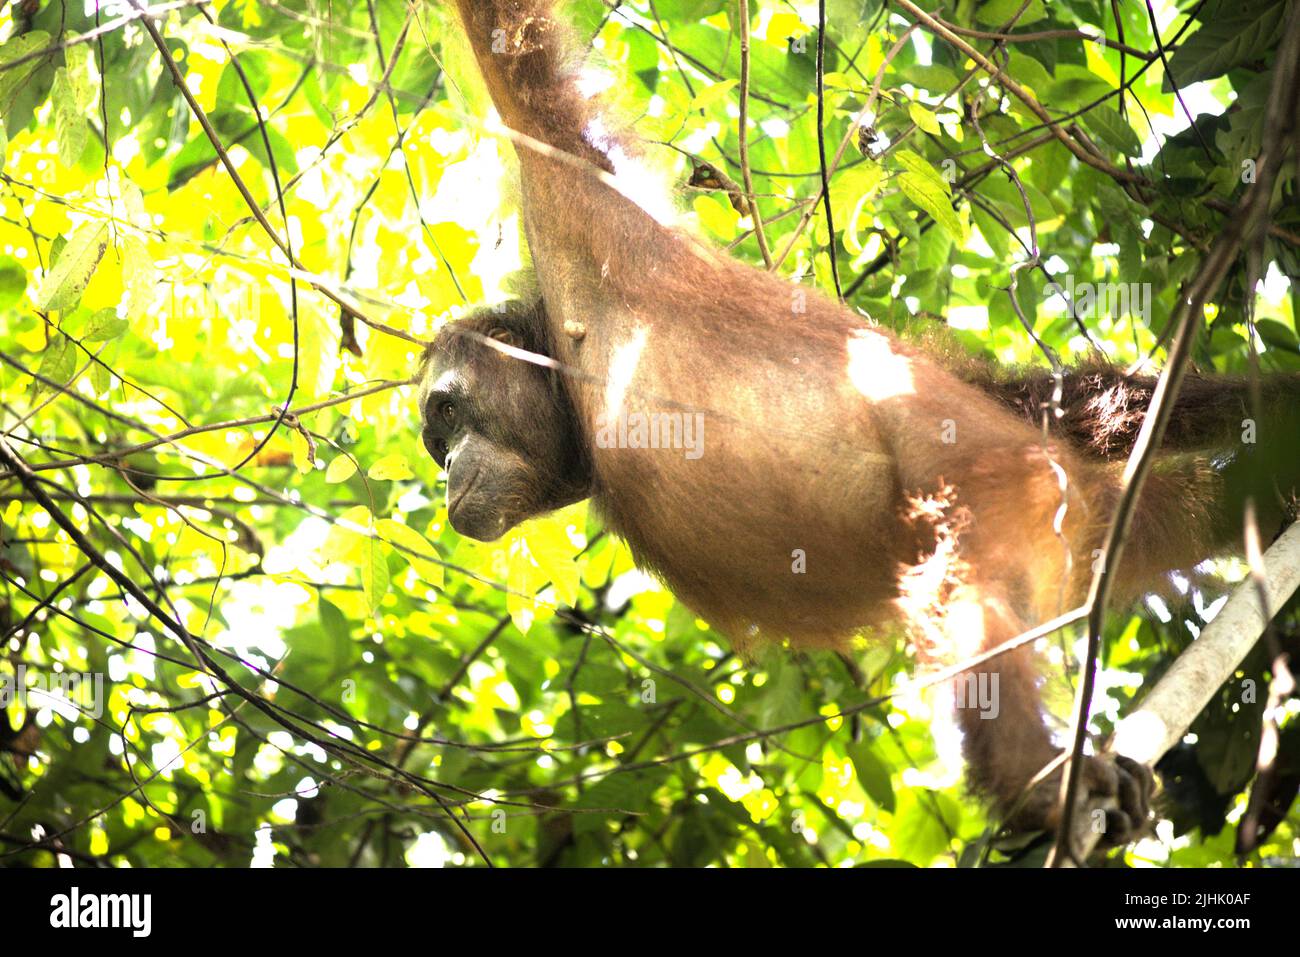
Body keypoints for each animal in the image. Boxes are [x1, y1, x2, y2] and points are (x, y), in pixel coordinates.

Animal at [430, 0, 1300, 849]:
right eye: (438, 442)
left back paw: (1038, 782)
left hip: (1002, 486)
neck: (571, 373)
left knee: (966, 591)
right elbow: (1045, 396)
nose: (443, 475)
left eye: (446, 412)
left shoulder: (579, 214)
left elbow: (512, 52)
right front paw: (1265, 413)